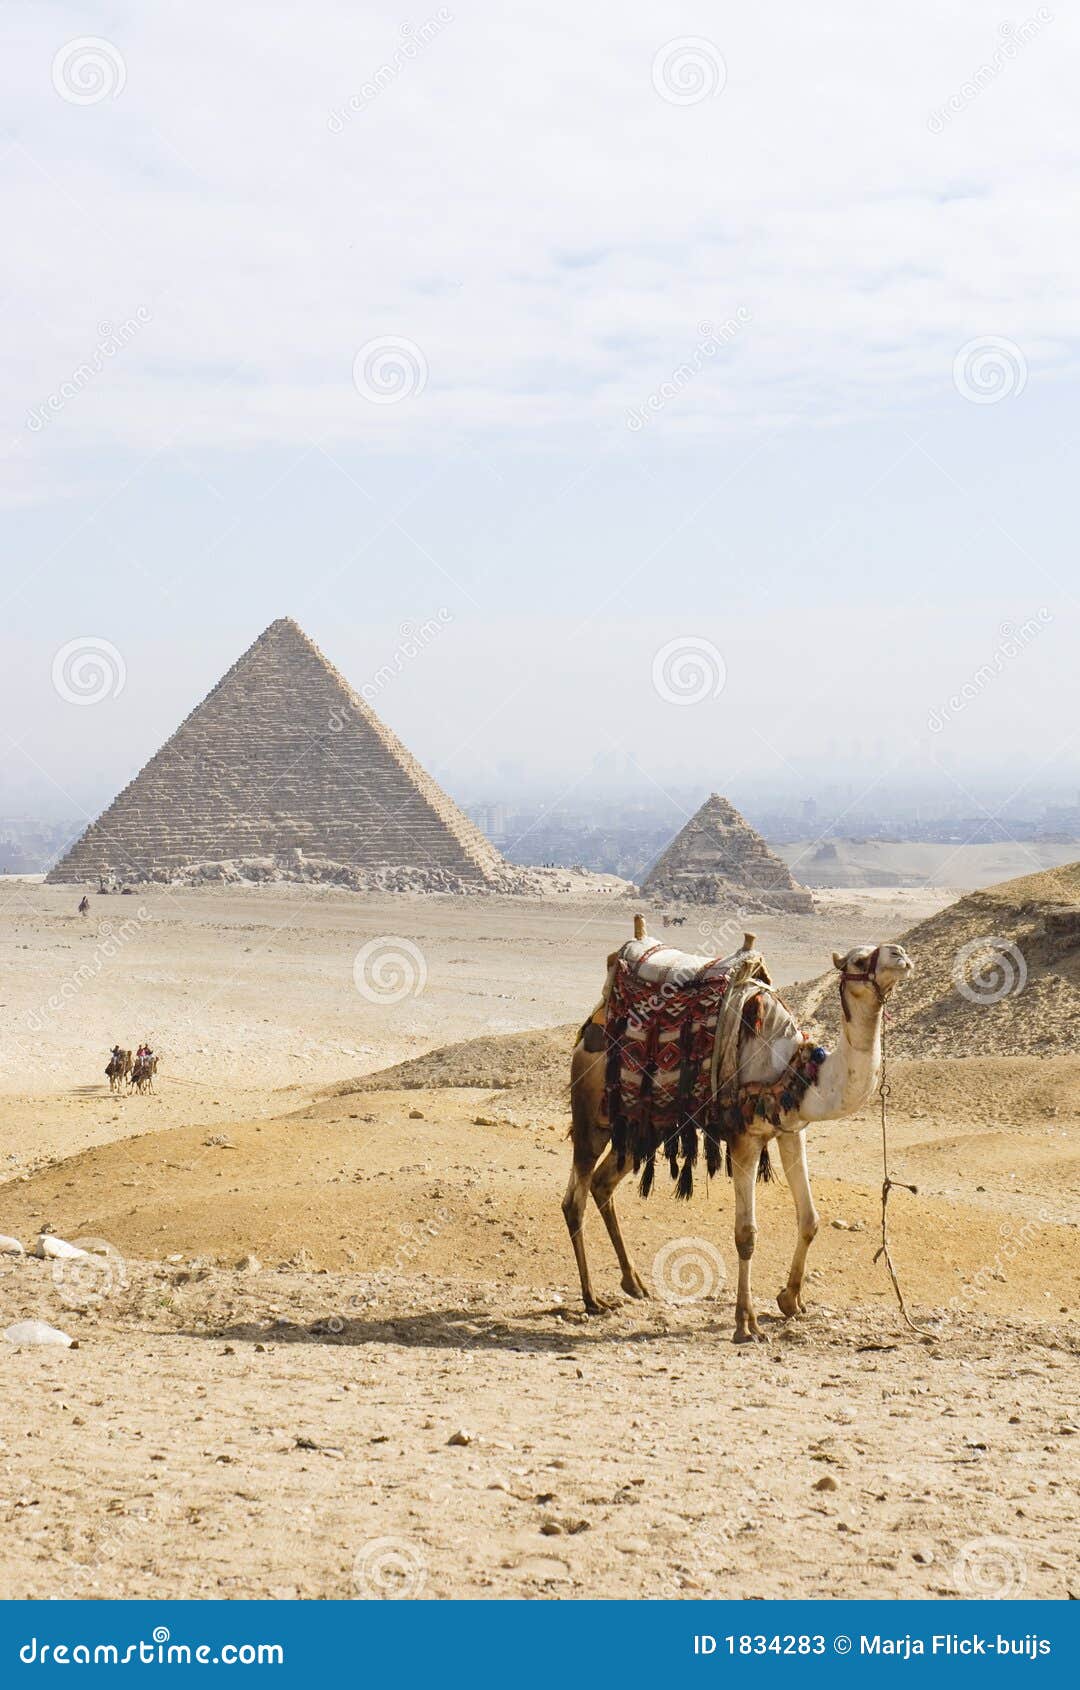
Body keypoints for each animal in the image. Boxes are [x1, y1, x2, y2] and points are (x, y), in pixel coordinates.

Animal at [562, 932, 913, 1341]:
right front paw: (747, 1323)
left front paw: (790, 1300)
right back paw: (592, 1299)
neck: (798, 1073)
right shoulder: (745, 1138)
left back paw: (633, 1284)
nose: (900, 955)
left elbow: (810, 1218)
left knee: (602, 1183)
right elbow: (746, 1233)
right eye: (858, 960)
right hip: (593, 1115)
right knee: (574, 1199)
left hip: (643, 1125)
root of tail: (593, 1024)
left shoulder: (791, 1131)